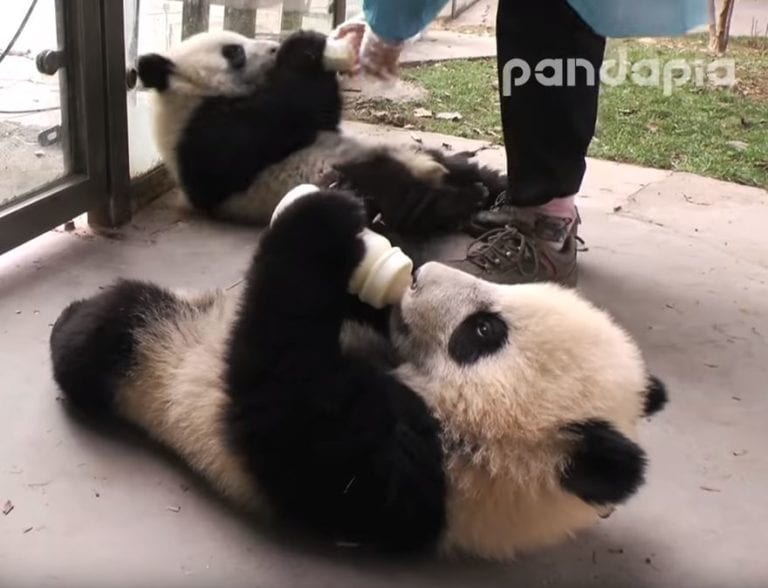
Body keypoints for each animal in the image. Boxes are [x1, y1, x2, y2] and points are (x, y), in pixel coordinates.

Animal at [49, 189, 667, 559]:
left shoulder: (397, 476)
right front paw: (364, 230)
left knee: (105, 336)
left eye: (484, 332)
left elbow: (279, 402)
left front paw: (320, 218)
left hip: (147, 362)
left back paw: (72, 327)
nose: (420, 274)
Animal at [135, 29, 505, 234]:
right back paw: (462, 200)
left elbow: (321, 116)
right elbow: (272, 122)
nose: (272, 50)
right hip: (342, 178)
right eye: (234, 52)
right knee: (395, 192)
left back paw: (491, 195)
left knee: (463, 167)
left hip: (415, 152)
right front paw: (302, 48)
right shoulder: (199, 137)